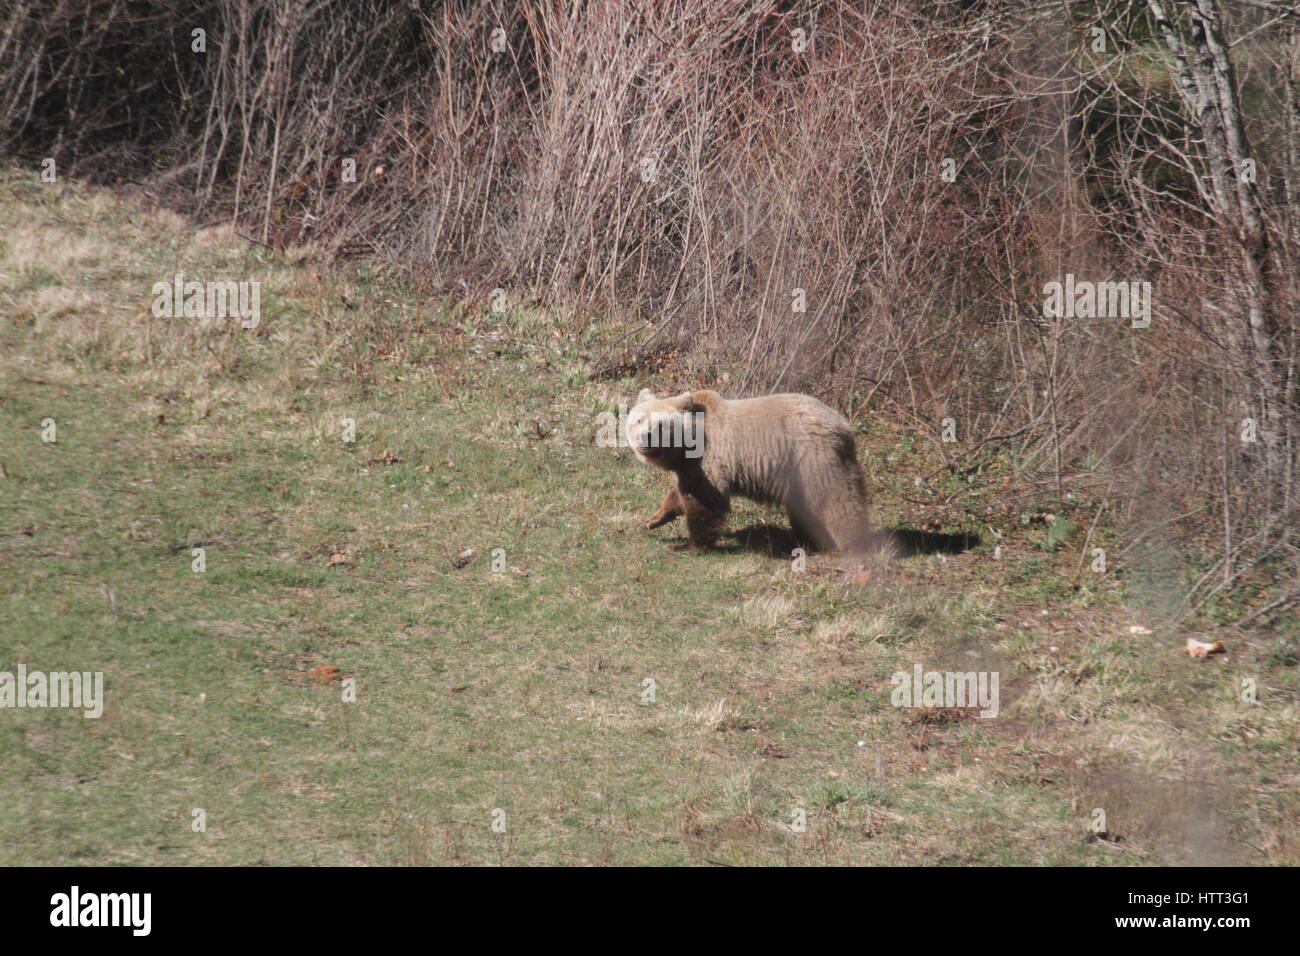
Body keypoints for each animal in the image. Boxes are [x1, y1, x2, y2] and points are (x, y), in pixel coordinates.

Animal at [625, 388, 872, 554]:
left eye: (661, 425)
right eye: (639, 419)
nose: (645, 437)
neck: (685, 449)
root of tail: (843, 426)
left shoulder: (710, 460)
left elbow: (705, 501)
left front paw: (689, 545)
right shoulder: (690, 468)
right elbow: (680, 494)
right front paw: (650, 521)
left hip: (813, 458)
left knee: (837, 499)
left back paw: (851, 543)